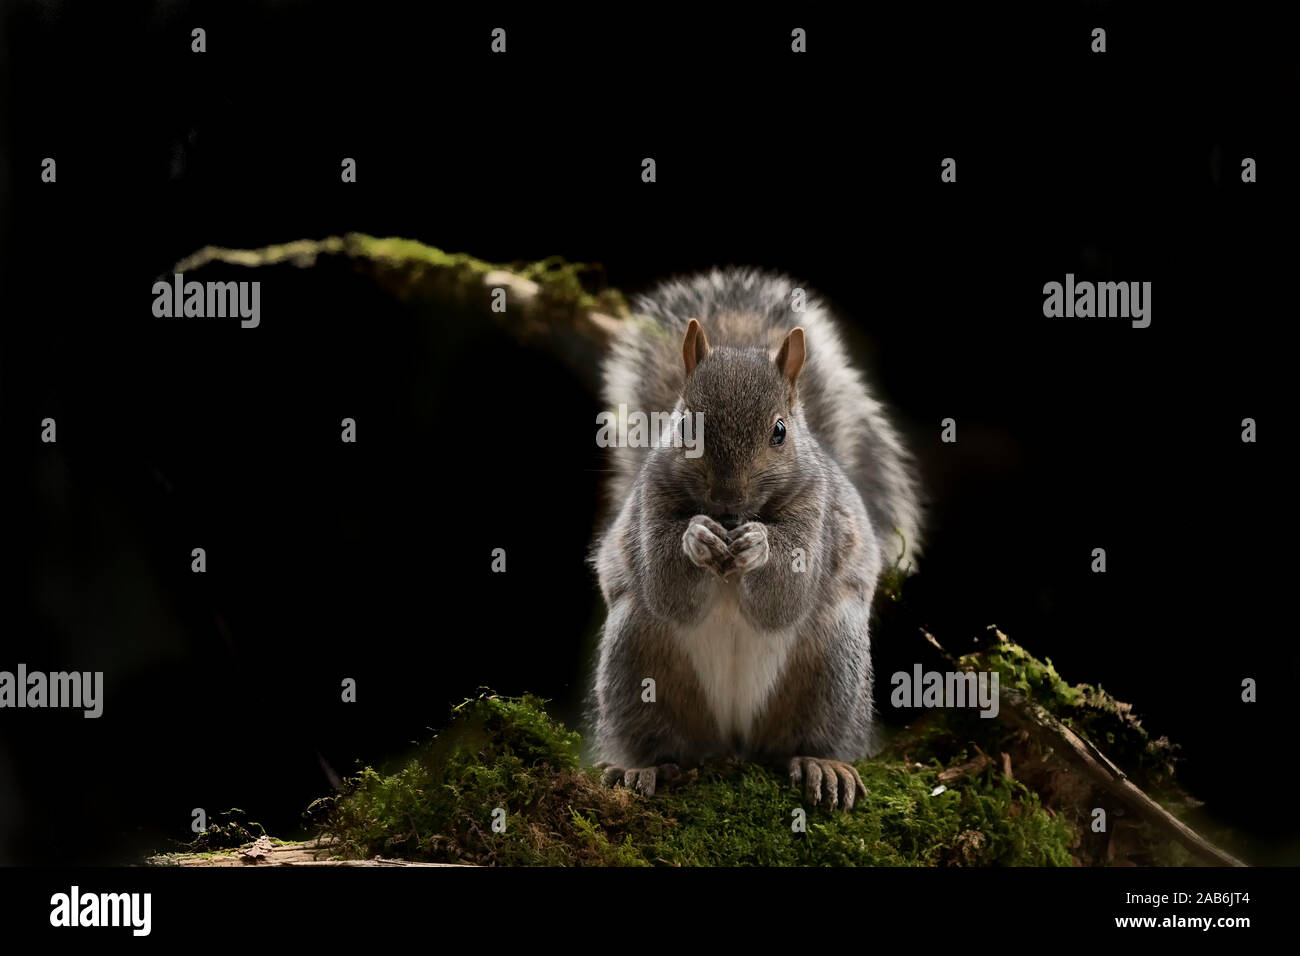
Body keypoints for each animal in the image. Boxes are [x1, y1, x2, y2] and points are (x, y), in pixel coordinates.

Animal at [589, 267, 922, 811]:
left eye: (780, 432)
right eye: (685, 424)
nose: (726, 500)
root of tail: (733, 737)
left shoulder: (819, 516)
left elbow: (785, 597)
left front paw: (760, 545)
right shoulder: (649, 505)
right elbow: (665, 586)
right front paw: (696, 537)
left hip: (833, 668)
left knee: (805, 738)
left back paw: (822, 764)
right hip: (633, 661)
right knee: (658, 736)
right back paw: (642, 767)